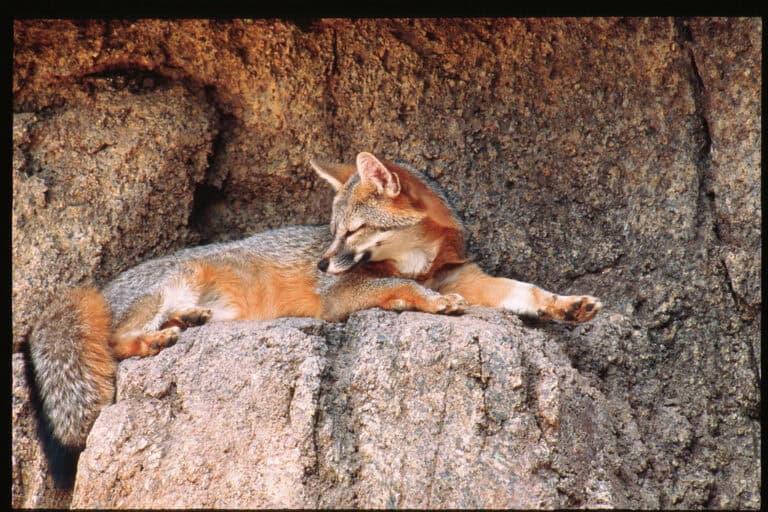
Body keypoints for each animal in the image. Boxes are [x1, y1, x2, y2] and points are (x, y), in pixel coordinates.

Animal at [29, 151, 601, 450]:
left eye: (352, 230)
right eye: (330, 232)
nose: (322, 264)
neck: (419, 262)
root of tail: (98, 288)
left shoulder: (464, 275)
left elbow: (524, 291)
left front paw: (565, 304)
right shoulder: (342, 293)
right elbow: (395, 289)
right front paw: (422, 303)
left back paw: (190, 321)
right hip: (172, 285)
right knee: (115, 341)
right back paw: (159, 337)